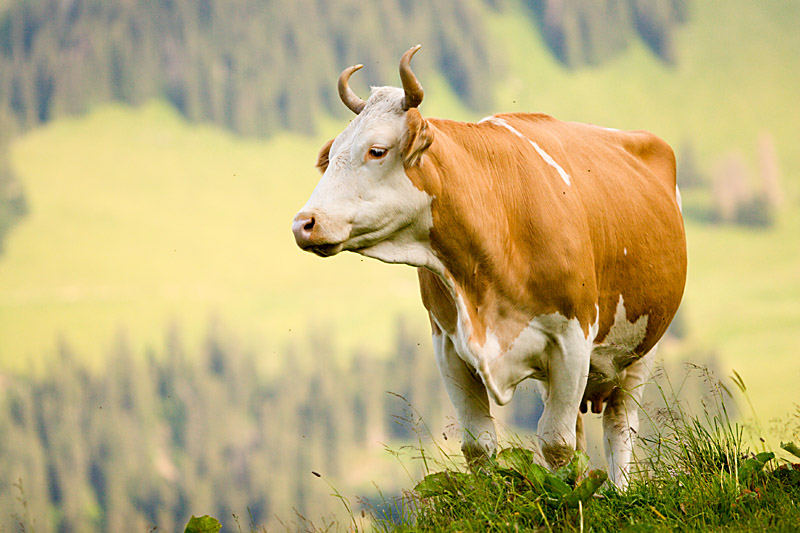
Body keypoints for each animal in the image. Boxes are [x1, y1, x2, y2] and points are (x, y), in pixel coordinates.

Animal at [292, 45, 687, 488]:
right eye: (331, 155)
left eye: (376, 150)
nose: (304, 223)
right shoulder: (448, 345)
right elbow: (479, 446)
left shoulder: (572, 339)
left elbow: (556, 445)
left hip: (642, 349)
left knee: (620, 425)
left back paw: (619, 491)